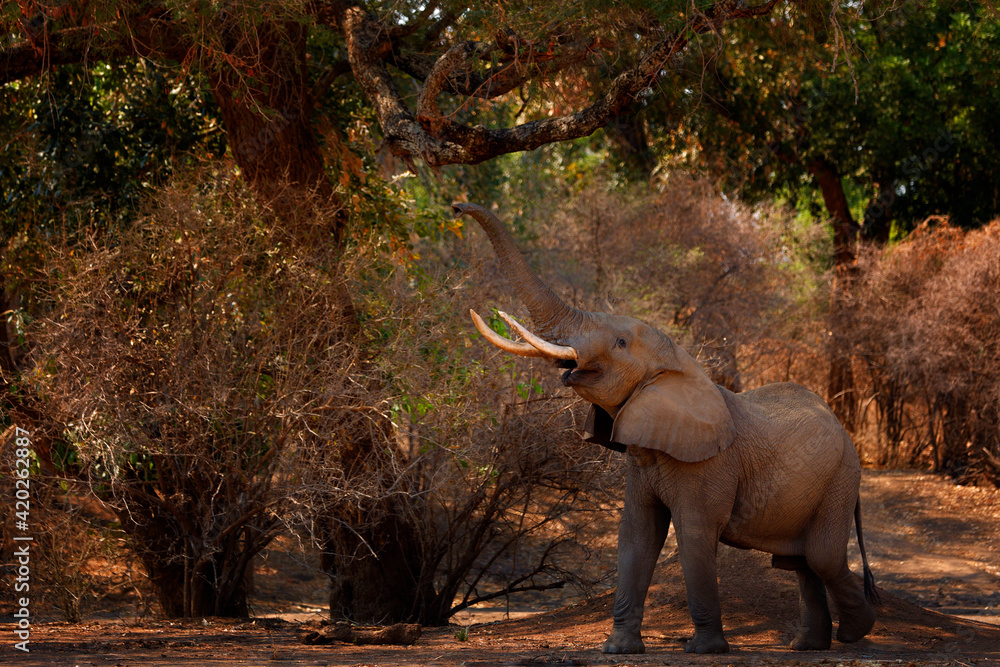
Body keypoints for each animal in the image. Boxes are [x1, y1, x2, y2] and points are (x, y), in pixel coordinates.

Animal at [452, 202, 879, 654]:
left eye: (620, 343)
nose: (458, 206)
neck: (677, 364)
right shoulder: (643, 458)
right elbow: (637, 536)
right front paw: (618, 649)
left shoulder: (709, 464)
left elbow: (693, 535)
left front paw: (705, 651)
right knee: (797, 562)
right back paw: (807, 645)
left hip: (840, 480)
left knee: (821, 557)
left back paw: (857, 632)